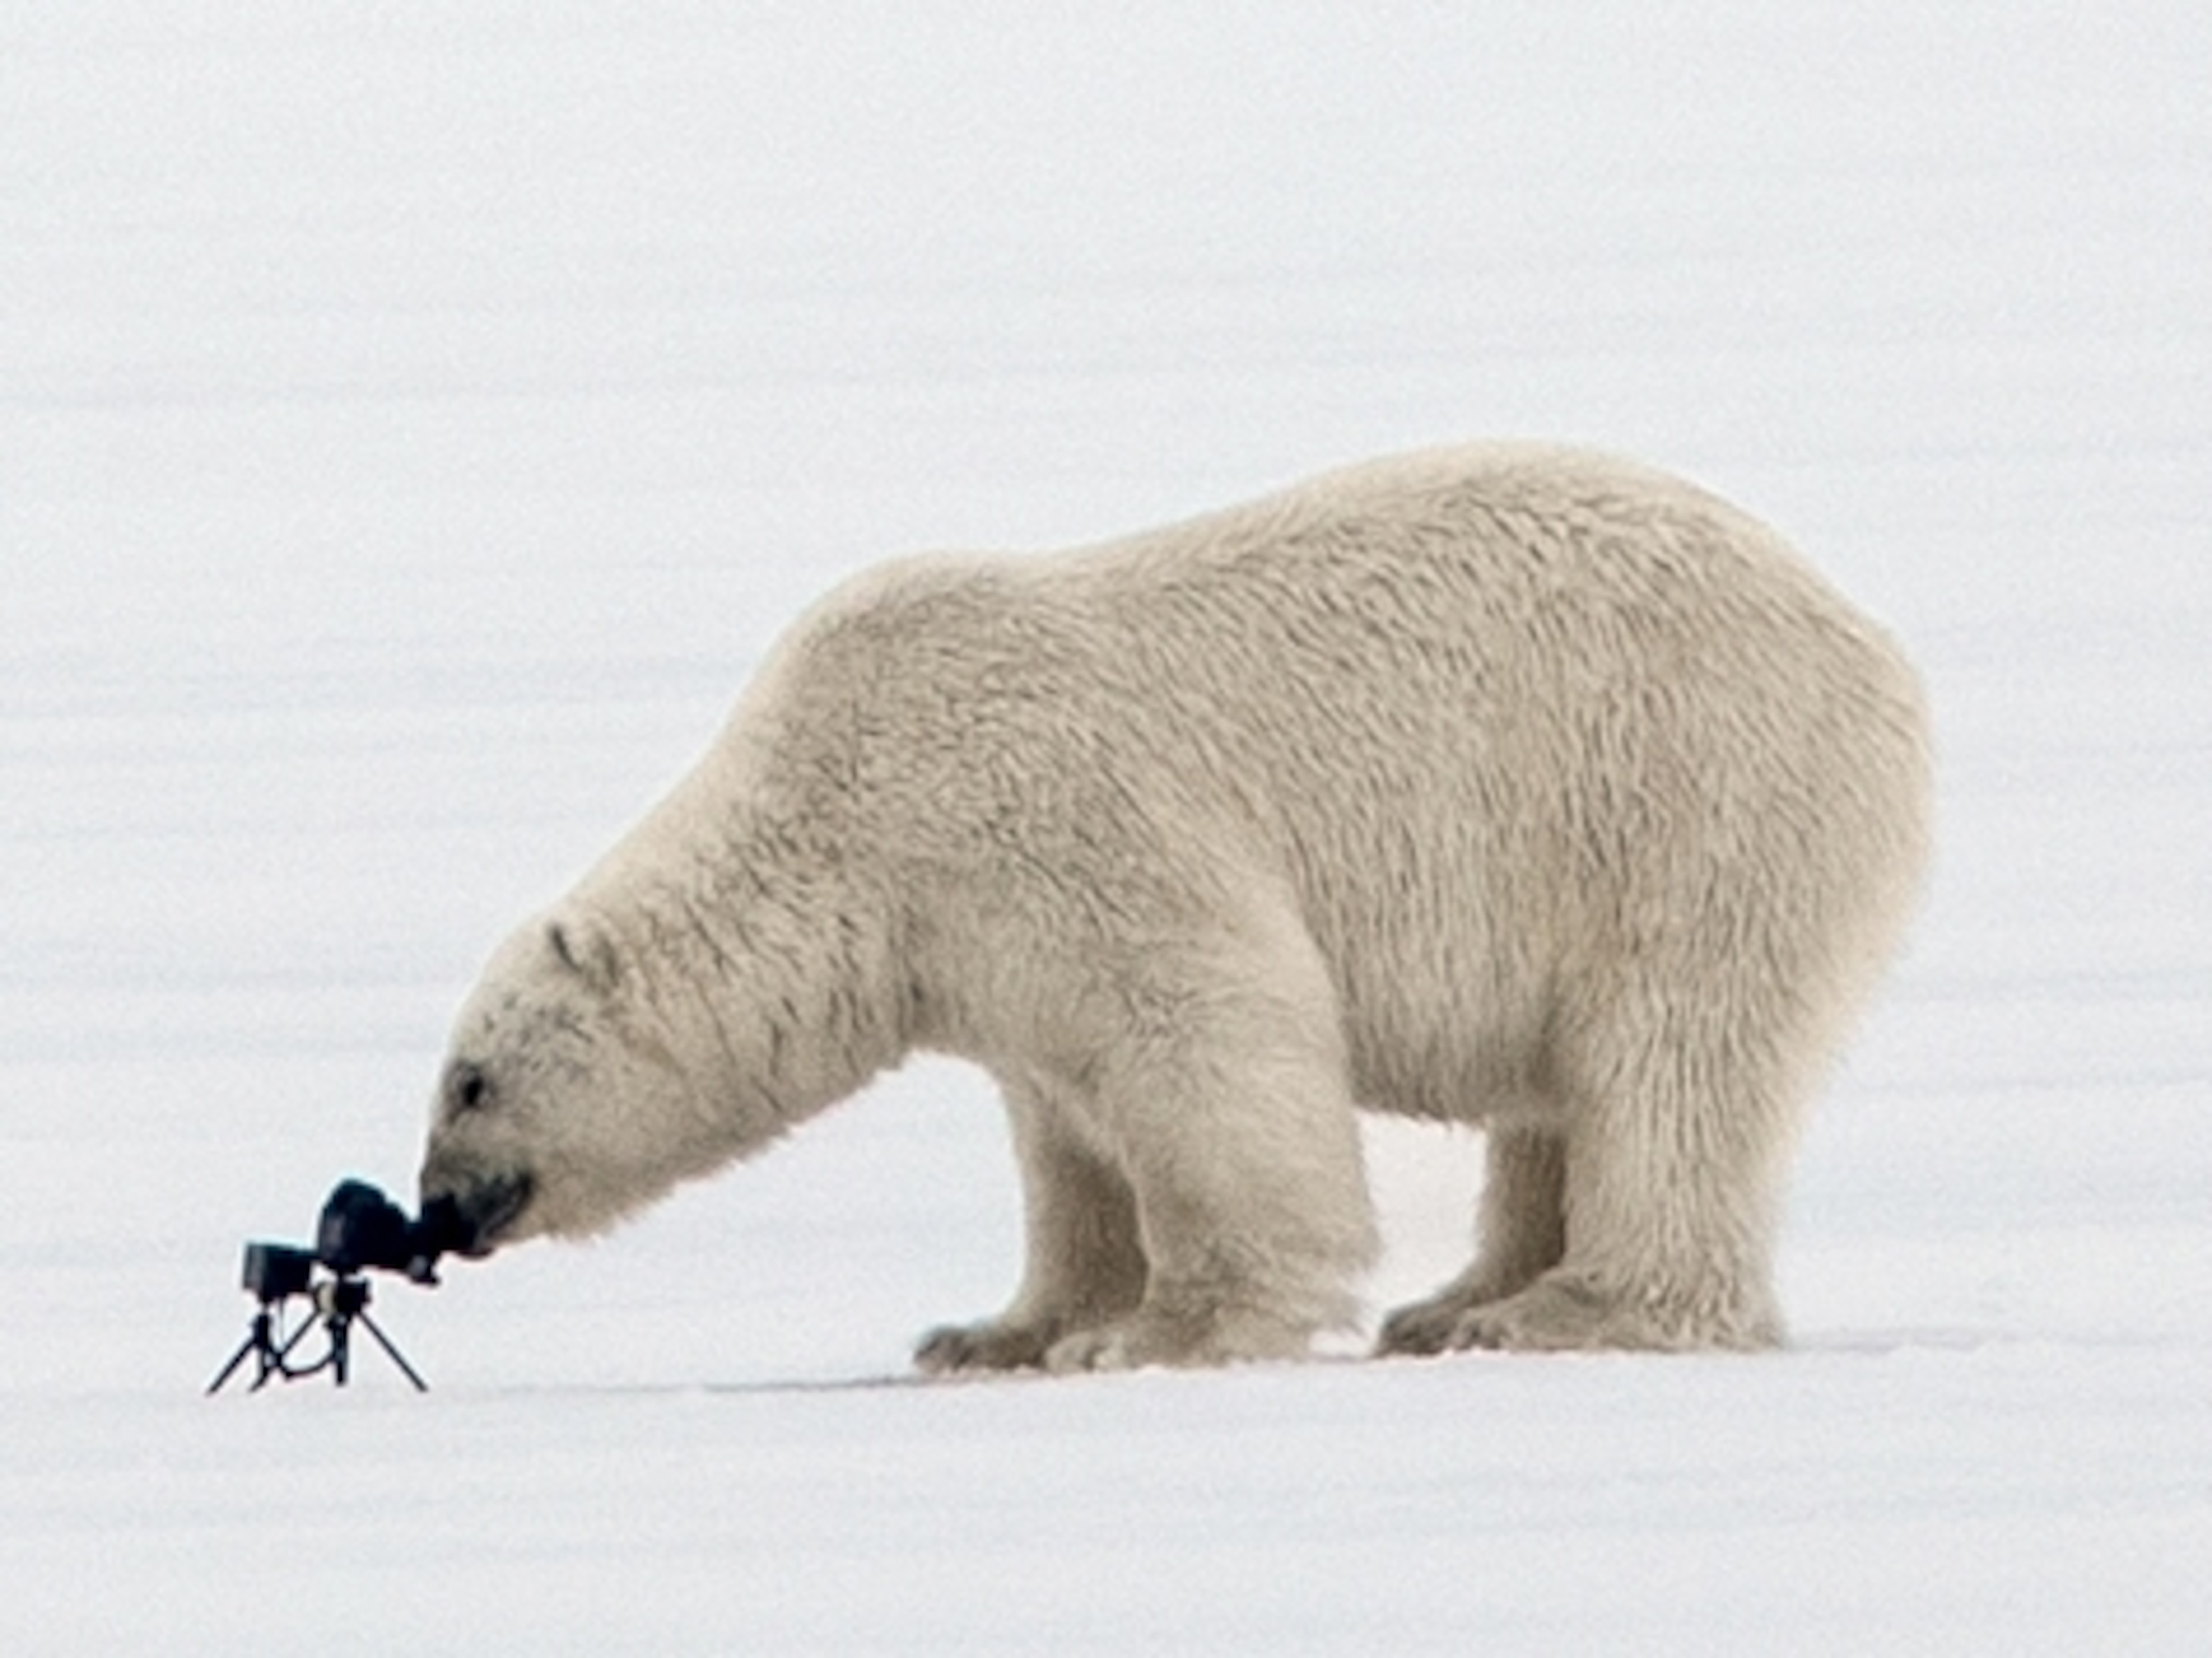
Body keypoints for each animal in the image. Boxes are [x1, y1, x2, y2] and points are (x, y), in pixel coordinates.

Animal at [416, 442, 1930, 1371]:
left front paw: (1165, 1330)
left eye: (469, 1079)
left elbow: (1204, 1040)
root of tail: (1875, 652)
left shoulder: (1047, 814)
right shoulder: (978, 948)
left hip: (1681, 800)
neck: (846, 805)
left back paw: (1570, 1306)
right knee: (1560, 1098)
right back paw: (1462, 1299)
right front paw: (995, 1332)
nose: (435, 1208)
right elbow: (1063, 1131)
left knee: (1669, 1061)